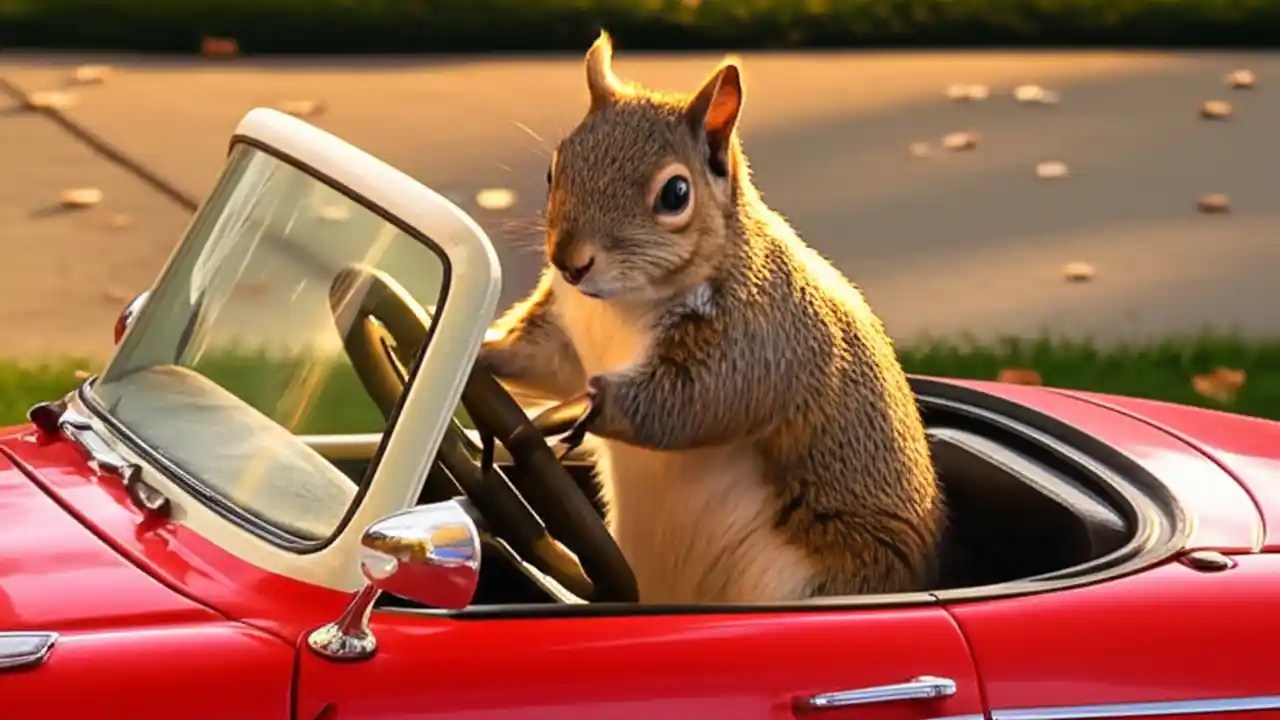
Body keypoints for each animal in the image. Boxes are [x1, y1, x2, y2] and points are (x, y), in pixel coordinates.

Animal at [478, 31, 945, 603]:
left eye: (676, 193)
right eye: (554, 169)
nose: (570, 262)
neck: (620, 305)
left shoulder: (763, 333)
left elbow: (704, 396)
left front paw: (587, 407)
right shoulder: (567, 331)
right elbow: (544, 362)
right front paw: (474, 352)